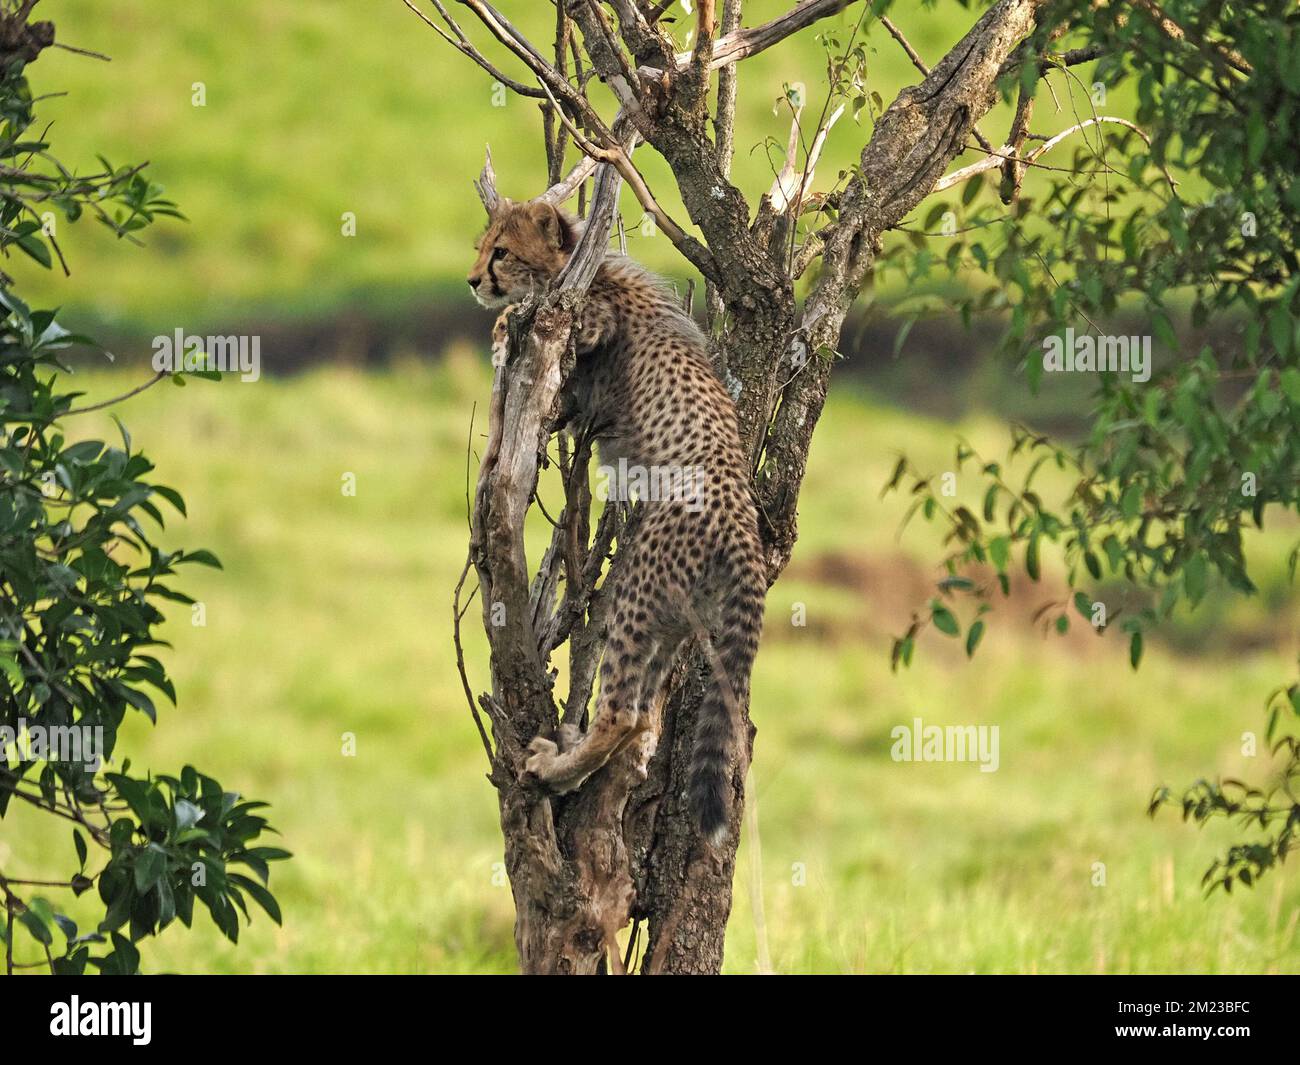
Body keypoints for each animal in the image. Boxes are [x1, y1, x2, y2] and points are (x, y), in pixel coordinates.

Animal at [467, 197, 766, 844]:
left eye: (501, 251)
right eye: (482, 248)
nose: (473, 280)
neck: (580, 263)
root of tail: (744, 529)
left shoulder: (592, 319)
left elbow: (539, 319)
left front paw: (503, 329)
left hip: (636, 591)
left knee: (623, 713)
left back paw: (552, 767)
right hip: (674, 621)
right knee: (642, 717)